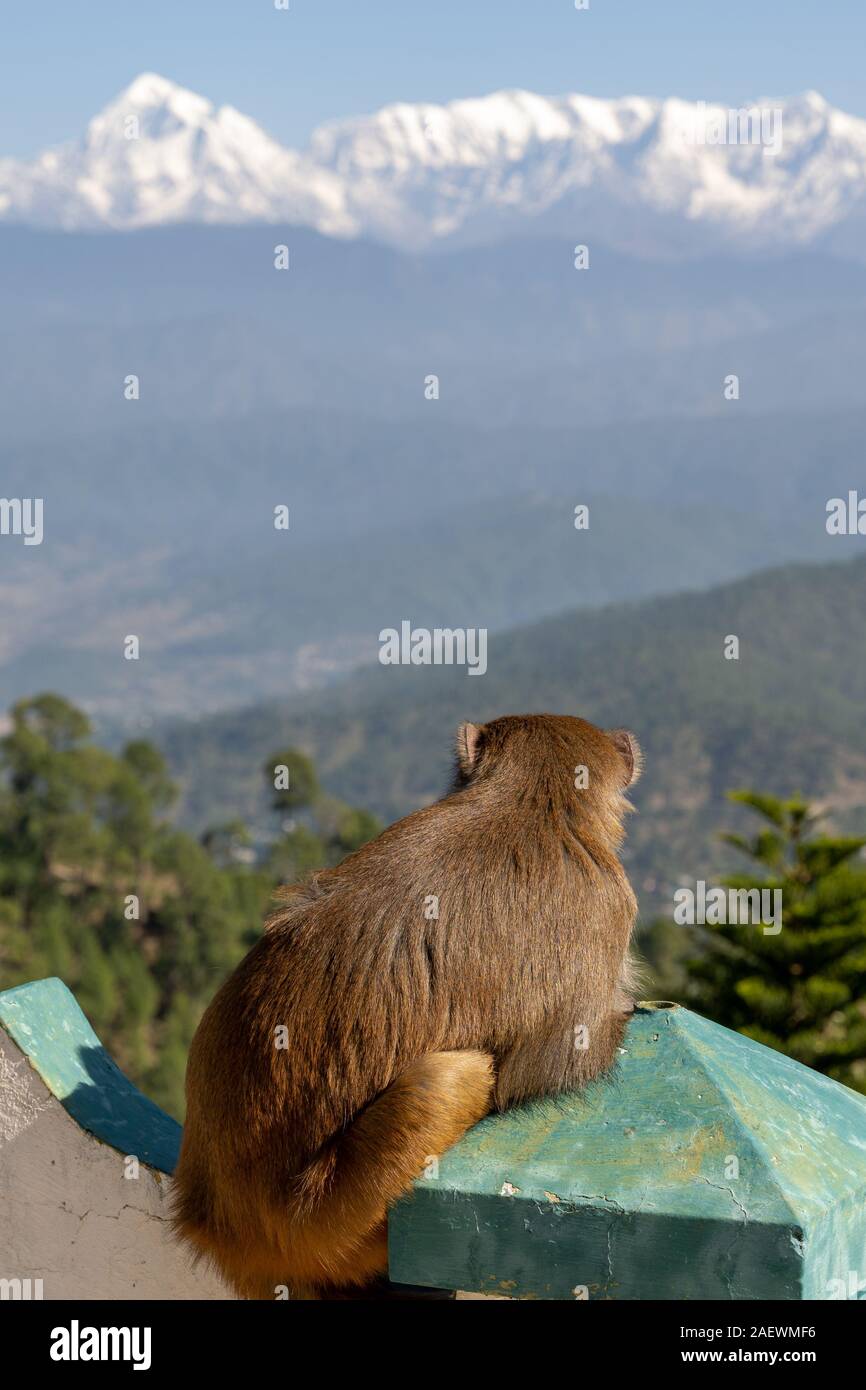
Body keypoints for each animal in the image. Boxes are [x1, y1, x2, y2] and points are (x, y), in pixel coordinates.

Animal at [172, 713, 642, 1299]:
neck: (535, 801)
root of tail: (218, 1225)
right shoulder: (610, 906)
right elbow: (551, 1068)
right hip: (323, 1220)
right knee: (449, 1077)